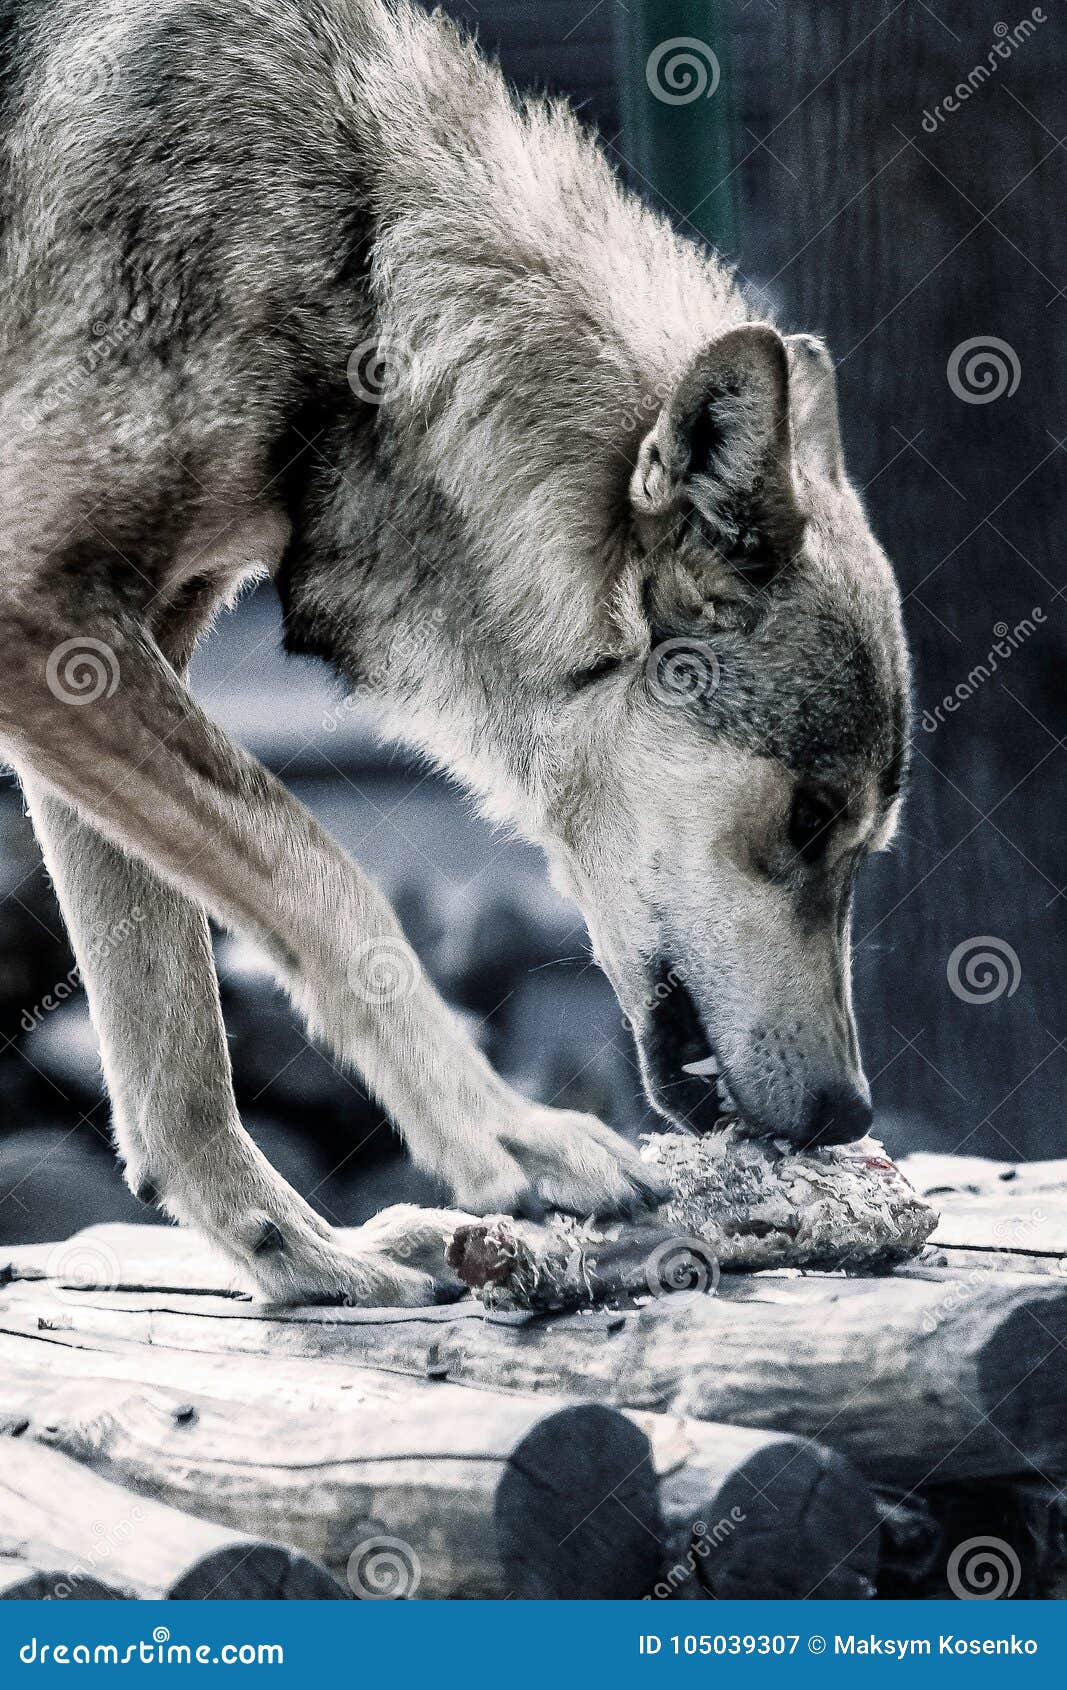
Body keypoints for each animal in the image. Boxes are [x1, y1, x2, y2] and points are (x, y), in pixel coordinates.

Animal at [0, 0, 909, 1303]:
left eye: (862, 841)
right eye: (807, 818)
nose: (848, 1115)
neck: (363, 254)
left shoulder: (126, 646)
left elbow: (177, 1062)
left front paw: (306, 1257)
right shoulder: (46, 608)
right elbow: (324, 874)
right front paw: (507, 1135)